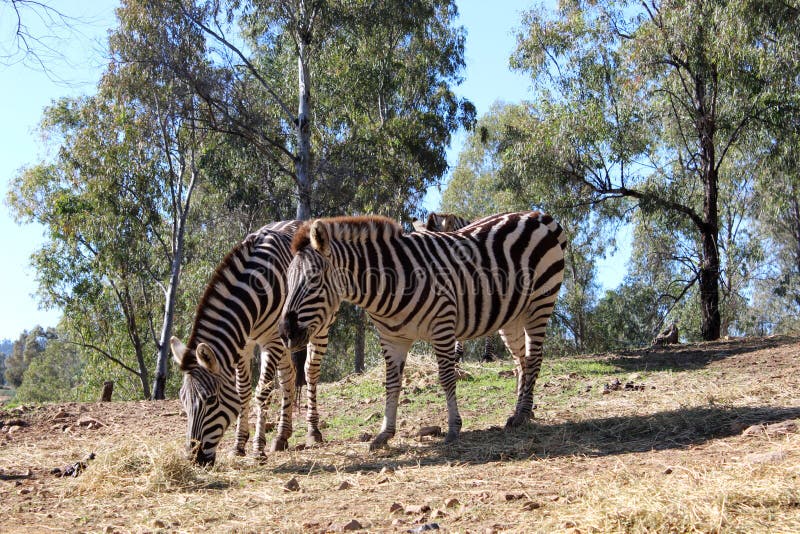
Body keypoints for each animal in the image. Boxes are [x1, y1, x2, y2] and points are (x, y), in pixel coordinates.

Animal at [170, 220, 333, 465]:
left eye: (210, 400)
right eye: (183, 400)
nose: (194, 459)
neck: (253, 289)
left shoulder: (272, 341)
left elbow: (262, 392)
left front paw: (258, 448)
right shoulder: (243, 343)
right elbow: (242, 391)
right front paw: (239, 444)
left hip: (318, 326)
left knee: (310, 371)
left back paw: (313, 431)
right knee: (288, 377)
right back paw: (282, 436)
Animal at [279, 211, 566, 450]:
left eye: (314, 280)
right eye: (288, 281)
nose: (285, 332)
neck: (391, 279)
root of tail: (539, 215)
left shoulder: (443, 325)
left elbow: (447, 377)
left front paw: (453, 428)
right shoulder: (392, 339)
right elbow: (391, 384)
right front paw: (385, 434)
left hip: (539, 303)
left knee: (535, 358)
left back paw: (524, 413)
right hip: (512, 316)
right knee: (522, 361)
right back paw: (519, 413)